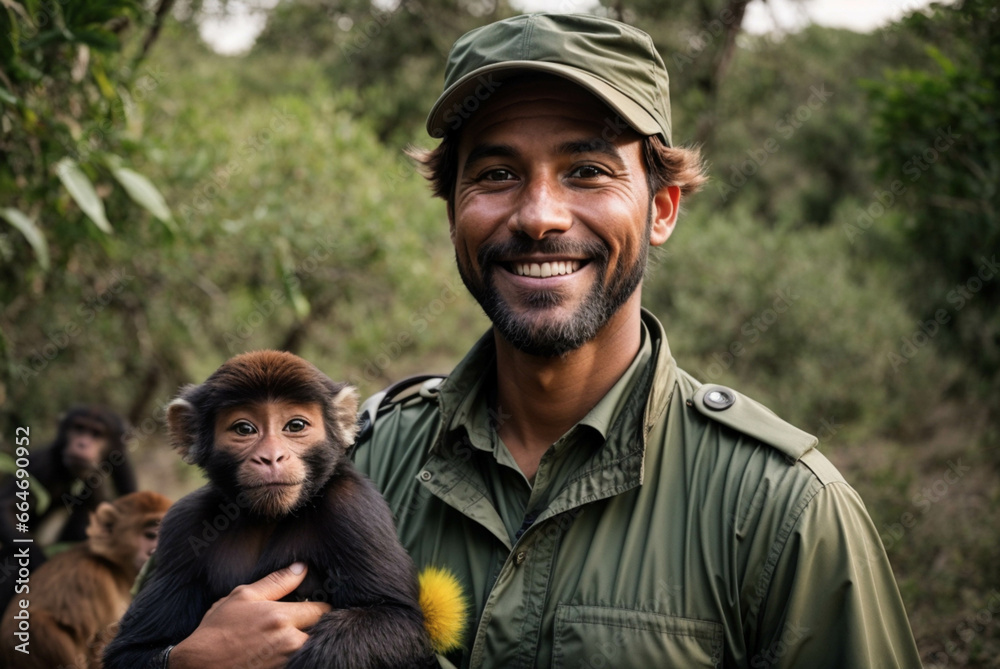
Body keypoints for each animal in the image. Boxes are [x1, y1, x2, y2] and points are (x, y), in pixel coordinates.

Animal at [0, 491, 171, 669]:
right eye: (151, 535)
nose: (155, 550)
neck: (114, 569)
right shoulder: (96, 580)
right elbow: (99, 643)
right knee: (36, 622)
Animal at [104, 351, 464, 669]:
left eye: (295, 425)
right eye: (244, 429)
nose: (272, 456)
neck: (267, 518)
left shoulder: (354, 506)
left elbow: (398, 619)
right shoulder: (181, 527)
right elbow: (128, 652)